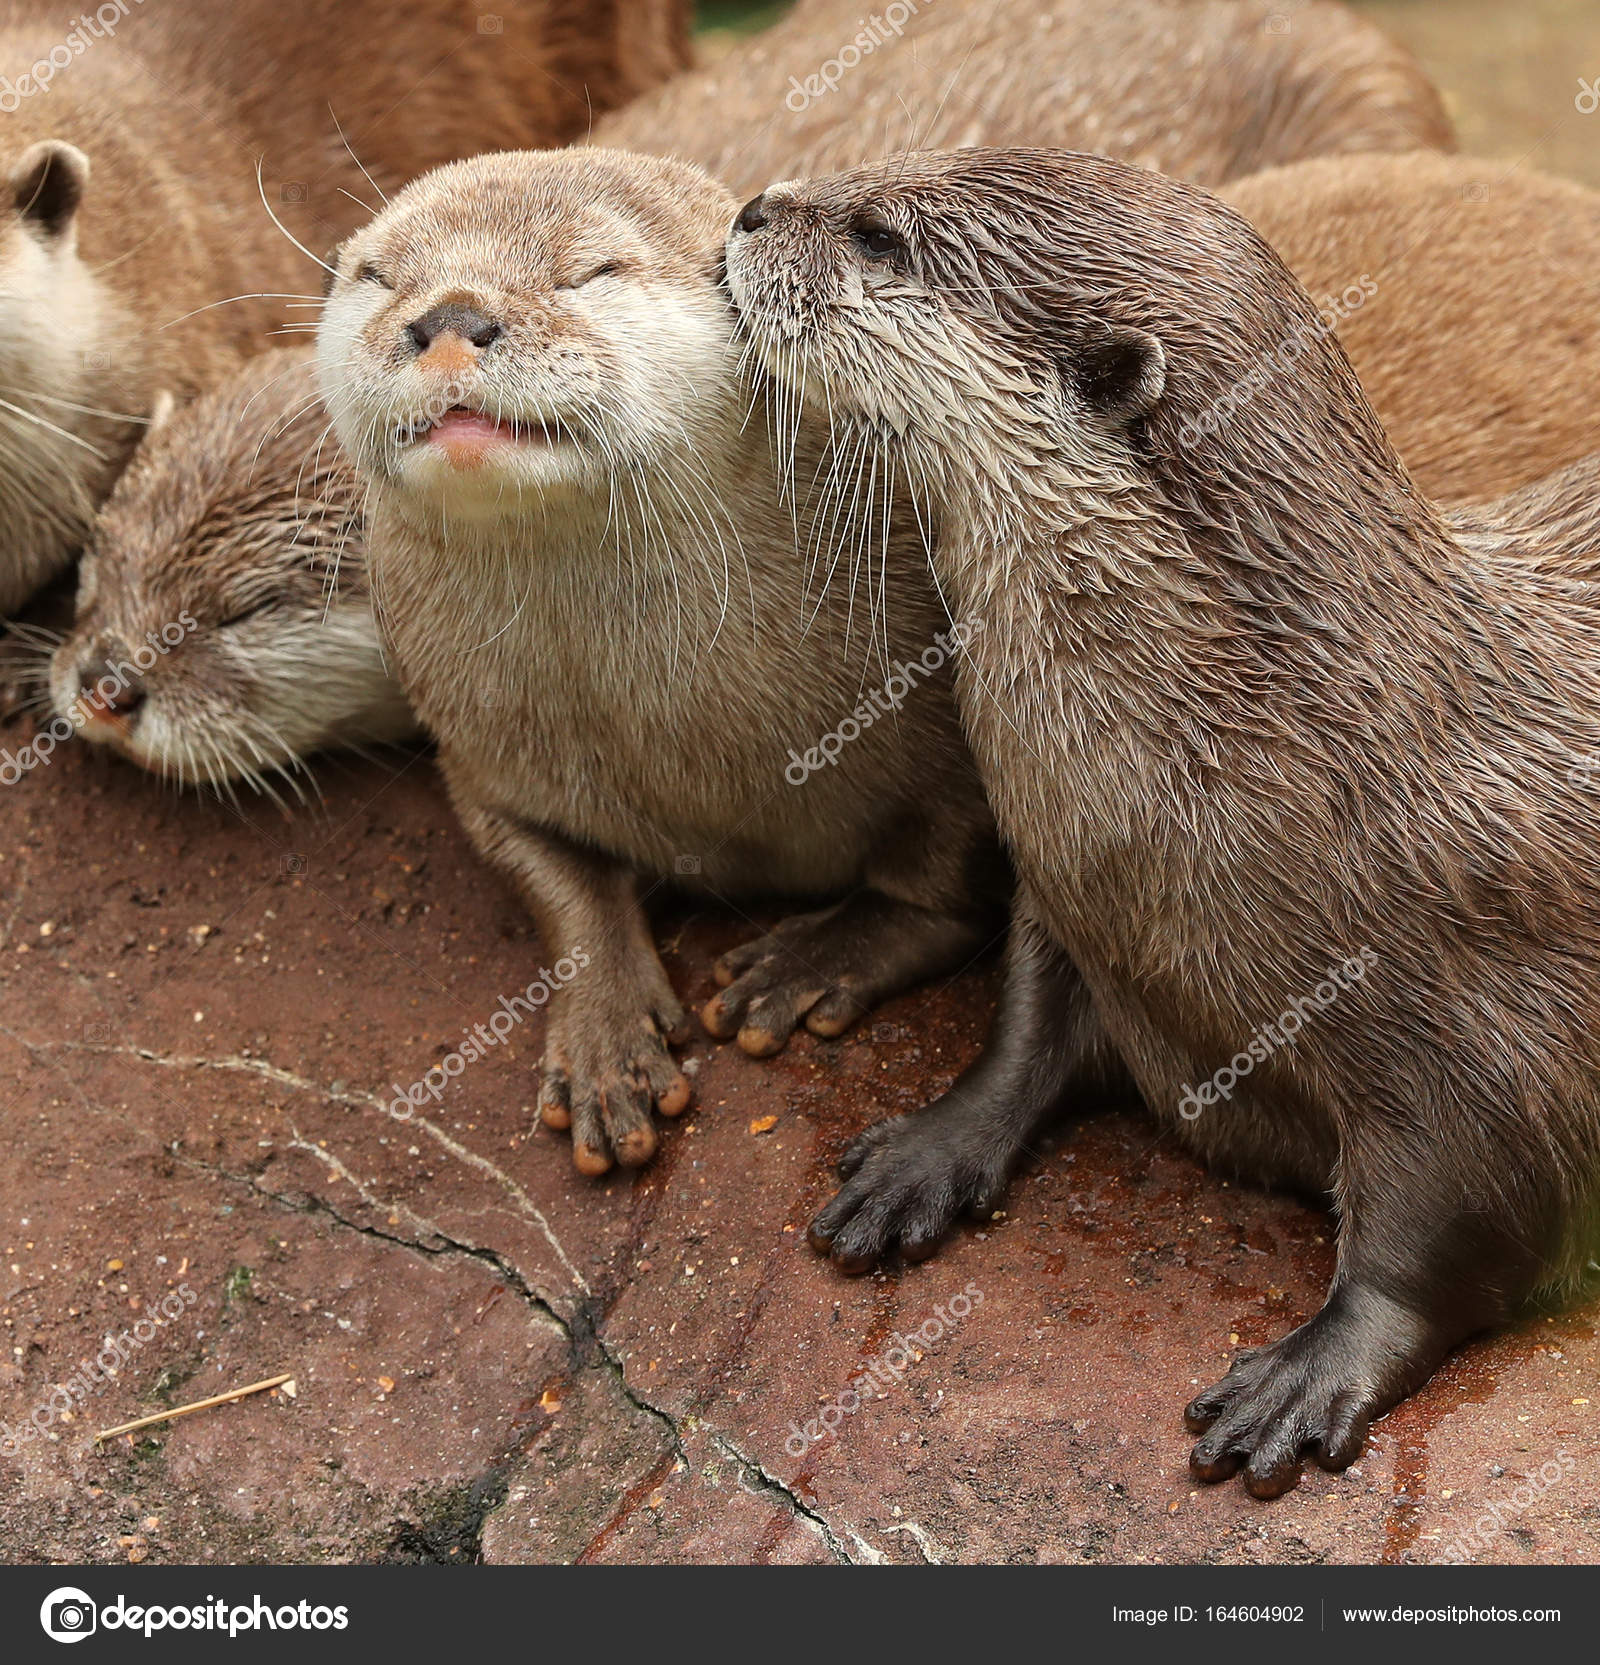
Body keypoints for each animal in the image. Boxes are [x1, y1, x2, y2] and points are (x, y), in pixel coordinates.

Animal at [317, 0, 1465, 1178]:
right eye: (375, 276)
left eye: (591, 269)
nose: (450, 315)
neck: (682, 749)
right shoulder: (473, 741)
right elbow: (551, 873)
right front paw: (603, 1040)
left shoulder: (953, 715)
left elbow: (939, 876)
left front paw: (819, 959)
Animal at [724, 146, 1600, 1497]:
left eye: (878, 233)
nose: (751, 208)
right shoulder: (1072, 895)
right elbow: (1025, 1023)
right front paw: (928, 1150)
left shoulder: (1492, 1022)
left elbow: (1458, 1218)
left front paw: (1313, 1369)